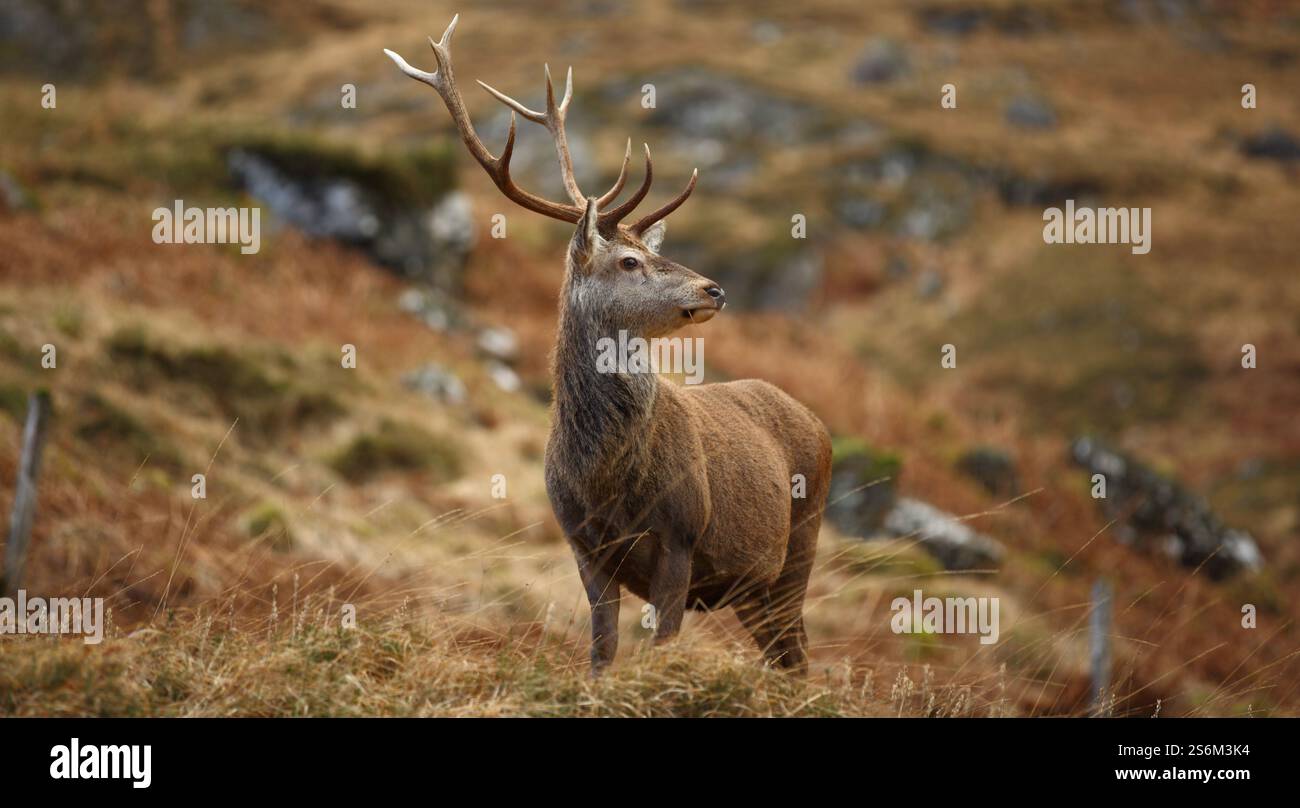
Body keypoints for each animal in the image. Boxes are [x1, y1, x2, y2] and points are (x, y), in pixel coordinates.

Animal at [386, 15, 832, 676]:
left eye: (649, 252)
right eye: (628, 261)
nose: (715, 288)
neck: (605, 478)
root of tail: (821, 426)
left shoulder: (682, 535)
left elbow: (662, 644)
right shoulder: (584, 545)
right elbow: (601, 652)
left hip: (798, 546)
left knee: (798, 655)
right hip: (757, 584)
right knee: (786, 656)